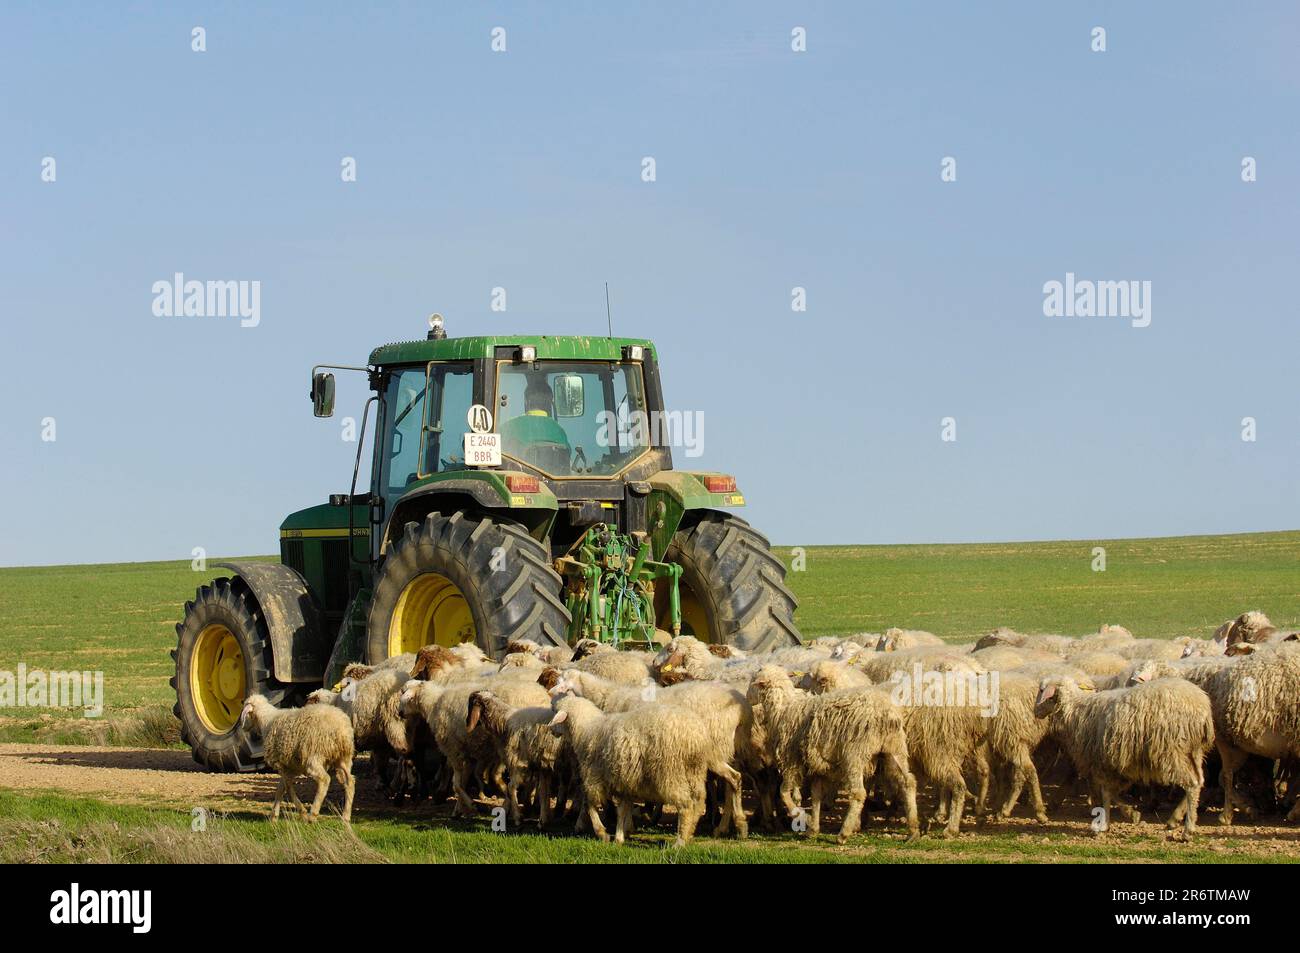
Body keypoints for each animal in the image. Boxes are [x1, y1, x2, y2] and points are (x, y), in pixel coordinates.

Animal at [240, 694, 355, 824]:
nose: (243, 727)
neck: (266, 721)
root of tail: (341, 731)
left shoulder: (281, 764)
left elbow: (288, 788)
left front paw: (302, 813)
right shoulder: (288, 766)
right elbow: (280, 788)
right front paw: (274, 816)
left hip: (314, 755)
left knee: (324, 779)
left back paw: (313, 815)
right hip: (344, 759)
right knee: (350, 781)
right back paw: (346, 816)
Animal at [548, 693, 712, 846]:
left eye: (555, 712)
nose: (551, 730)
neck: (585, 730)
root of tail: (694, 736)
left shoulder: (595, 779)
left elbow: (590, 805)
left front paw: (602, 833)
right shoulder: (624, 781)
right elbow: (623, 809)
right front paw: (621, 836)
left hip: (671, 773)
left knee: (685, 806)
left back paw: (680, 842)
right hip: (695, 772)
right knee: (698, 802)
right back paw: (689, 832)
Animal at [746, 665, 919, 842]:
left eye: (753, 682)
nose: (747, 700)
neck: (783, 708)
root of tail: (886, 713)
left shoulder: (791, 762)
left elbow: (784, 793)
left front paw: (802, 817)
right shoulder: (816, 766)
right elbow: (816, 796)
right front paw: (813, 828)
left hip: (855, 755)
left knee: (858, 793)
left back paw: (844, 833)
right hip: (894, 750)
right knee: (908, 782)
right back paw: (913, 830)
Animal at [1034, 675, 1214, 835]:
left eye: (1042, 690)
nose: (1035, 712)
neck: (1075, 710)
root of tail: (1202, 706)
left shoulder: (1102, 762)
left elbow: (1107, 793)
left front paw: (1106, 824)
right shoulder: (1112, 763)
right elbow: (1111, 792)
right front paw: (1131, 814)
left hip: (1173, 751)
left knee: (1191, 784)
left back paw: (1187, 830)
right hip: (1194, 752)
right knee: (1199, 782)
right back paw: (1177, 819)